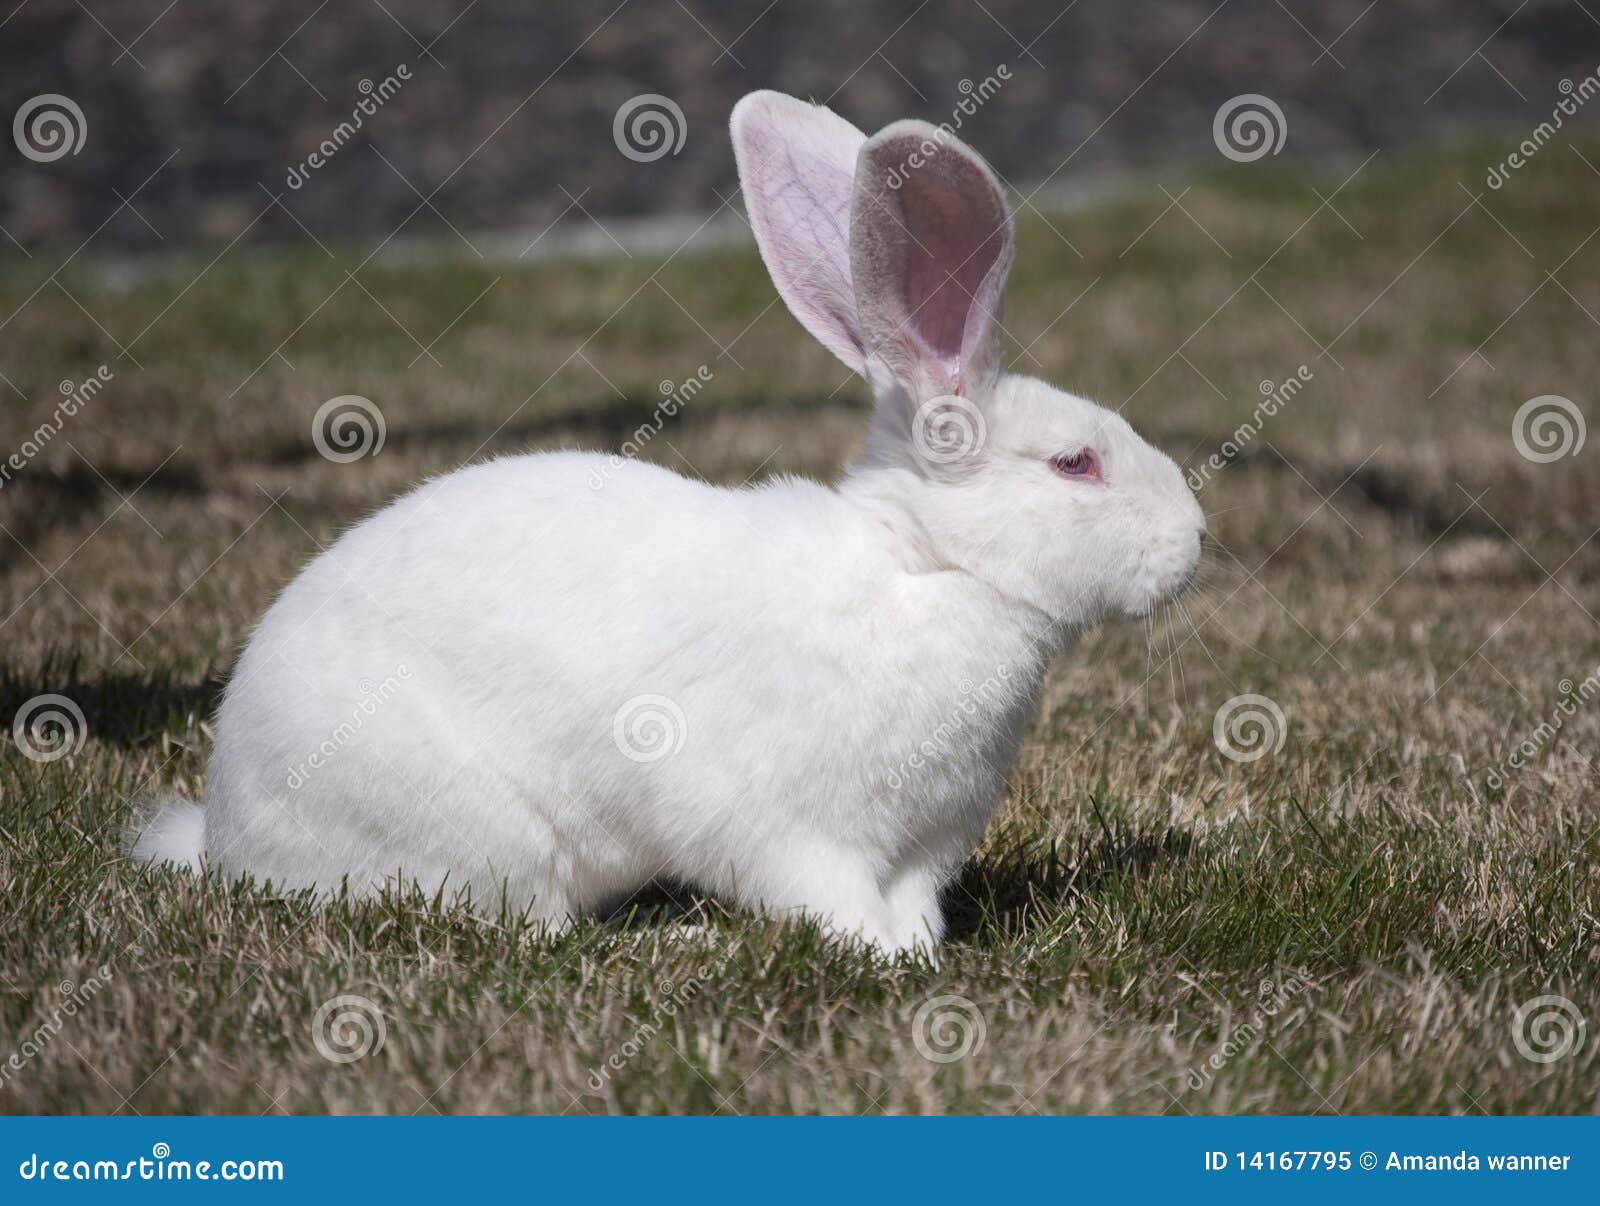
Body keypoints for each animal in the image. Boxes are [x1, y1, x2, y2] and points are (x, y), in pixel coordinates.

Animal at [128, 90, 1204, 958]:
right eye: (1076, 462)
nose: (1195, 539)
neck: (927, 567)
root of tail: (226, 832)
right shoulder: (790, 831)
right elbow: (827, 900)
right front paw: (879, 959)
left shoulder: (919, 849)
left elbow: (908, 908)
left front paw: (916, 954)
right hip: (475, 831)